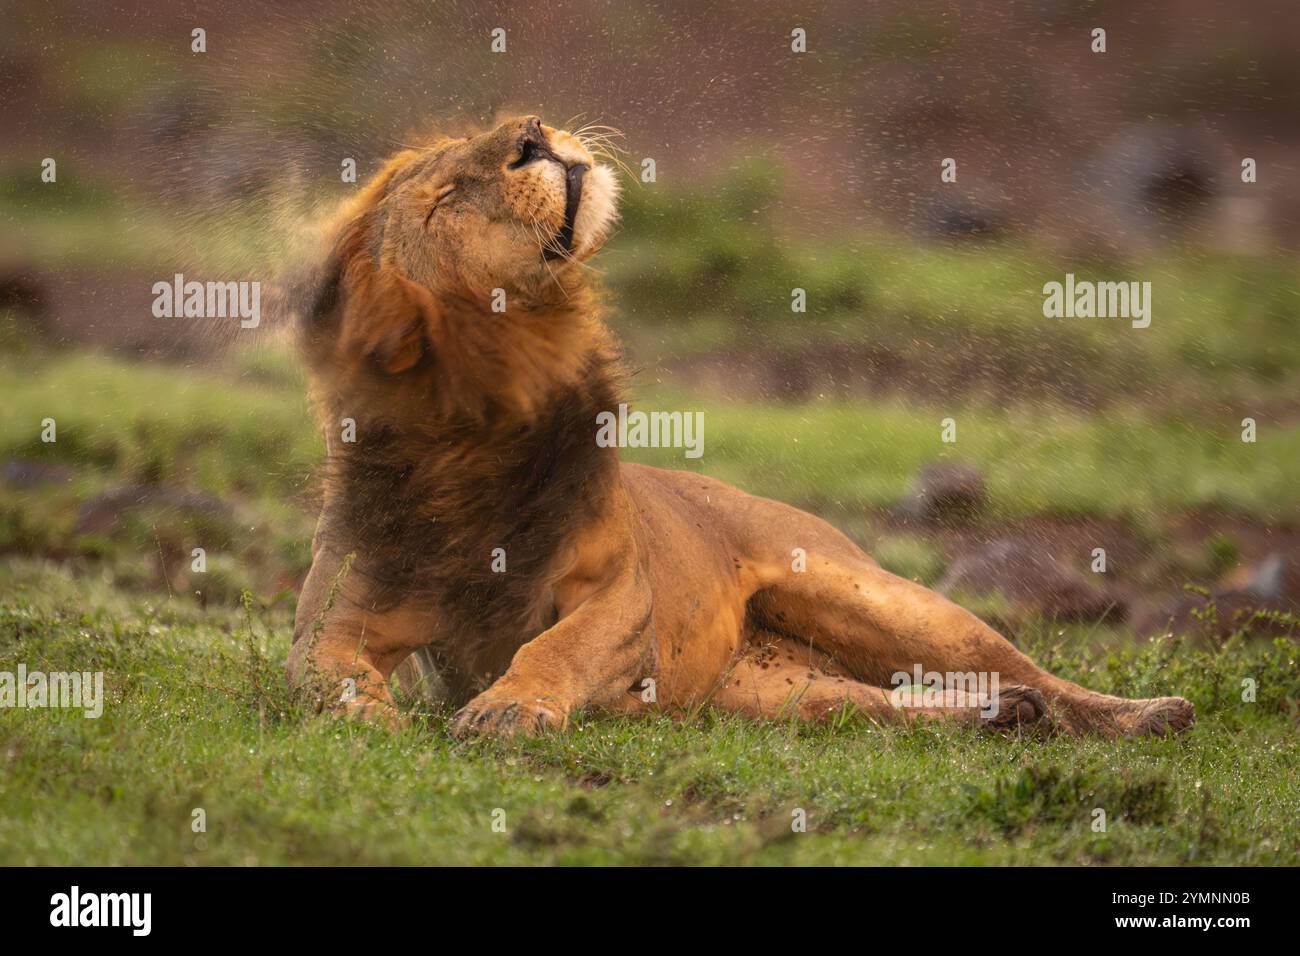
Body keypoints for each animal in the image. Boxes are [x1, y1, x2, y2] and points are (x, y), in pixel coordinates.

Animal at [286, 116, 1194, 739]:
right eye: (442, 197)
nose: (533, 133)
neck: (477, 437)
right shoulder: (336, 618)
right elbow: (319, 677)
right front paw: (374, 722)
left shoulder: (620, 598)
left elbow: (555, 649)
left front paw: (503, 712)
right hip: (775, 693)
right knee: (867, 704)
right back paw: (1004, 714)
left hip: (891, 603)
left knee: (1028, 665)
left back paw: (1147, 714)